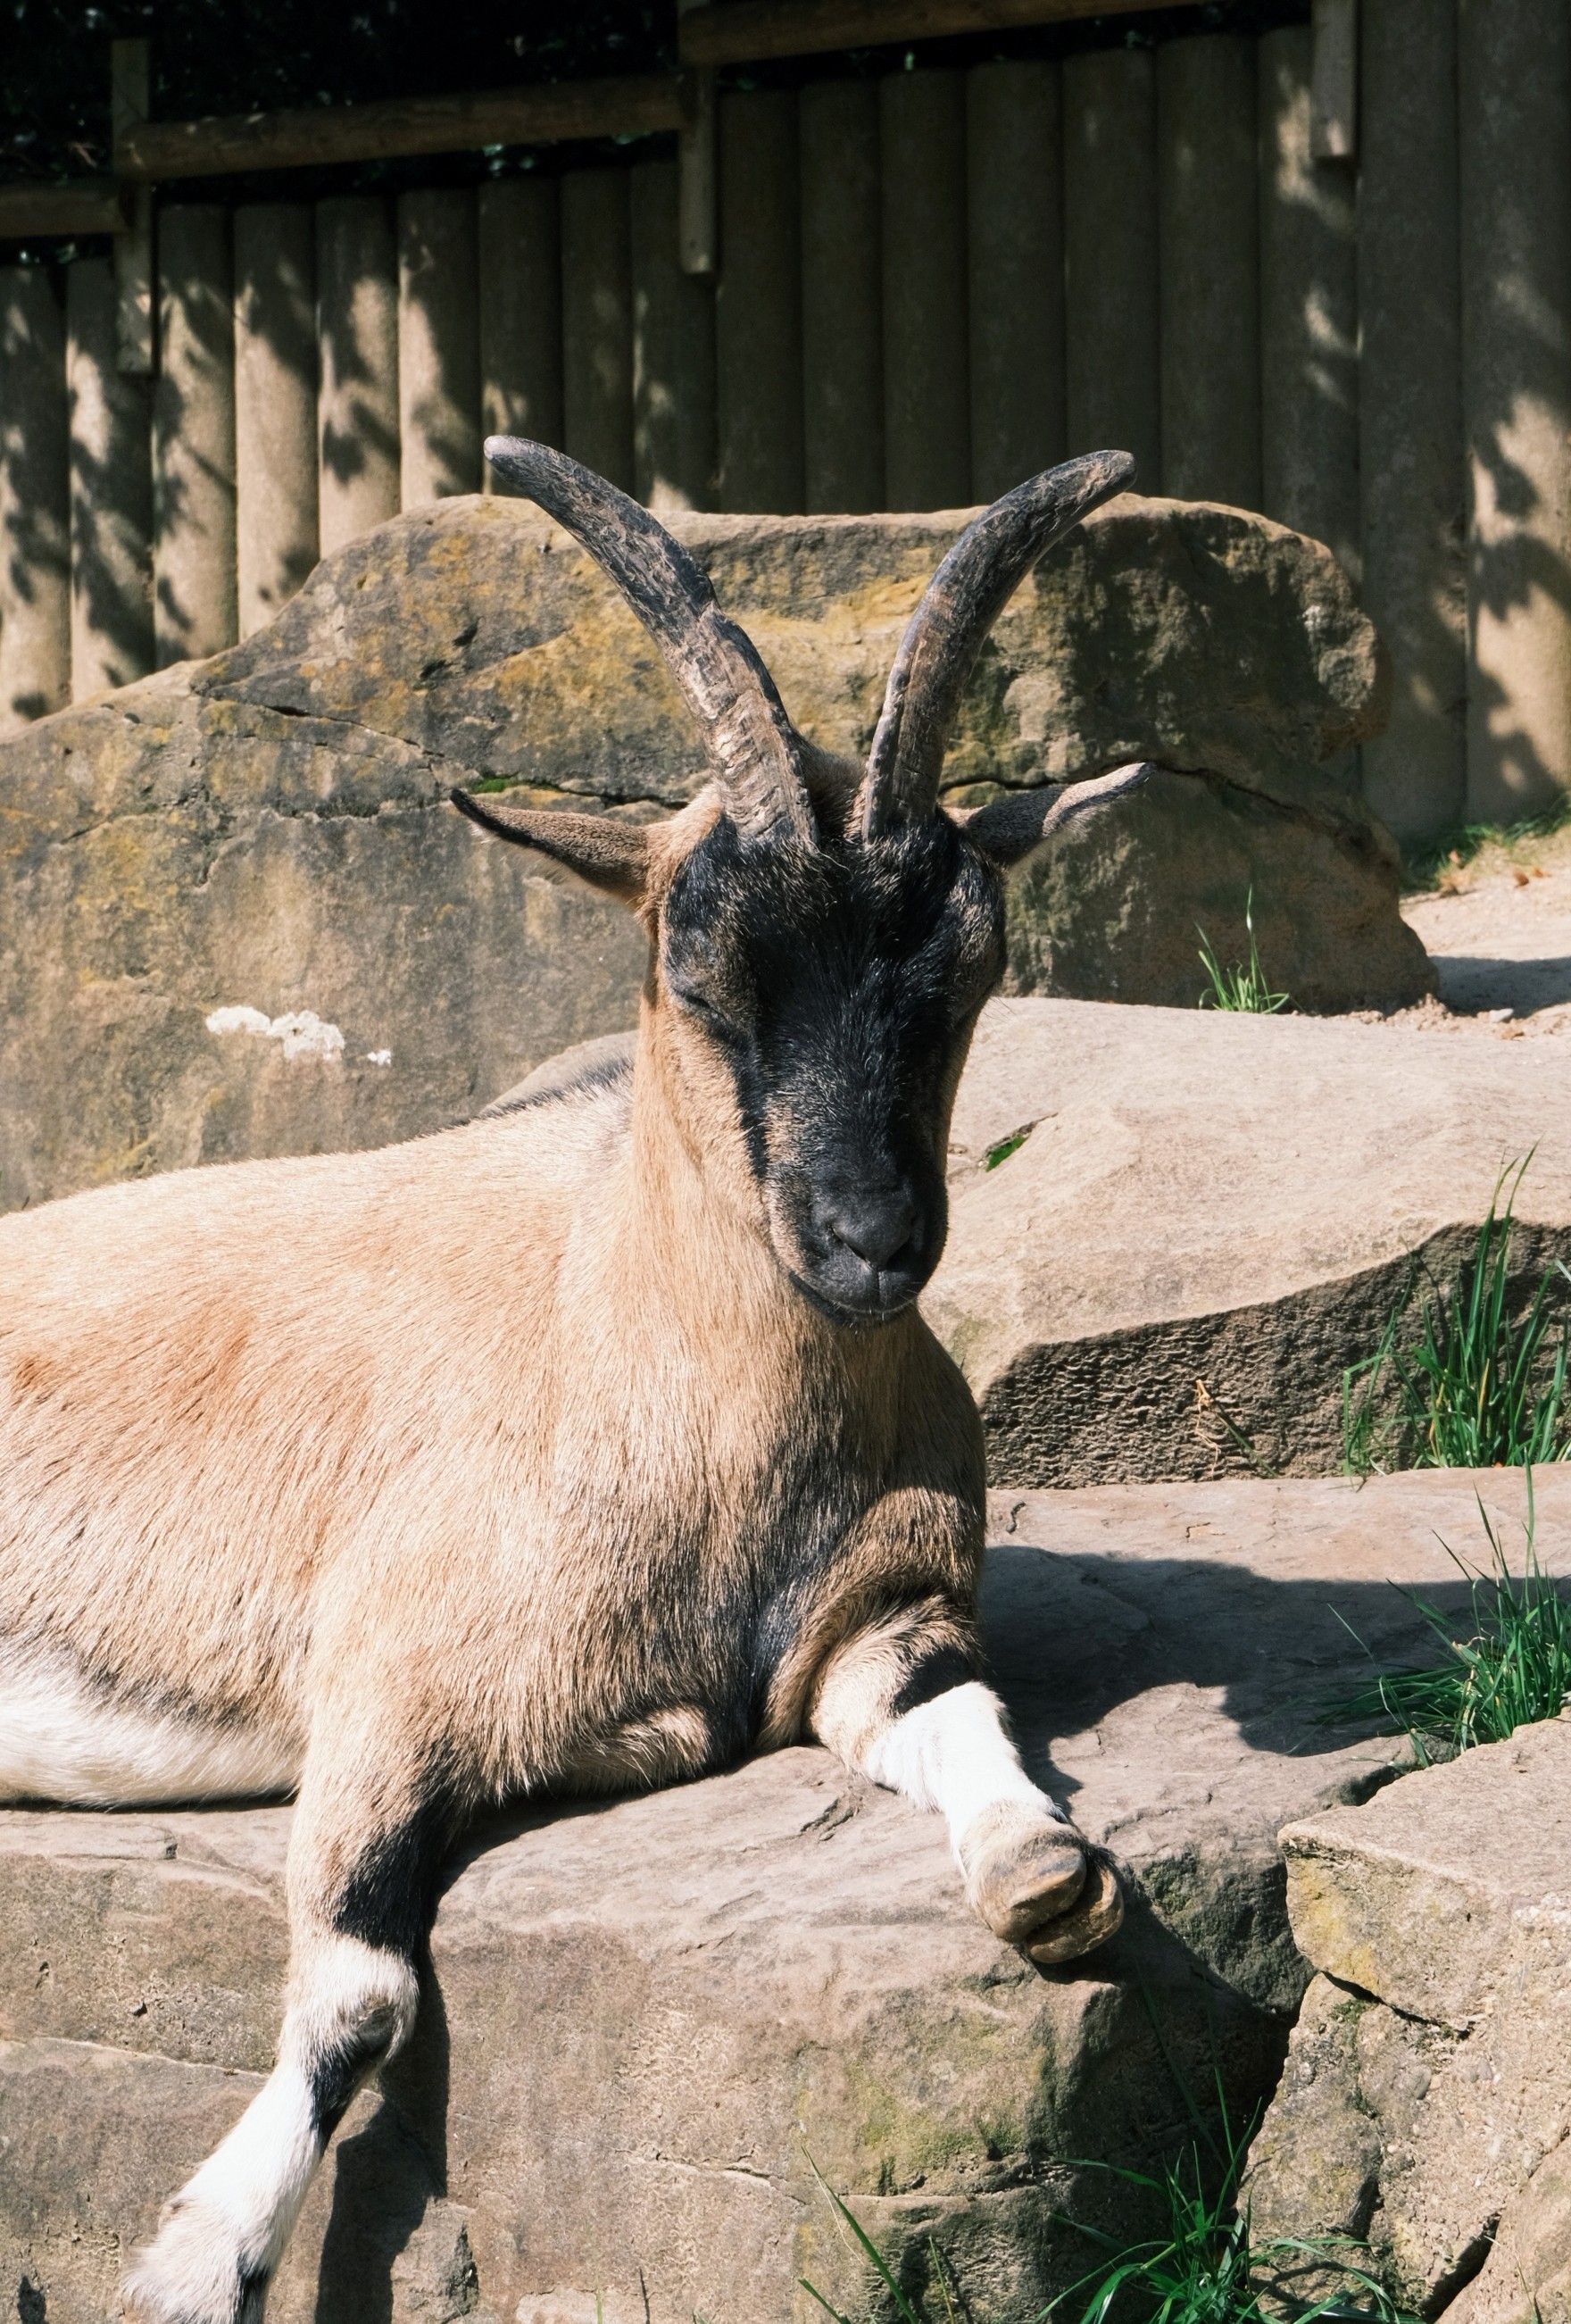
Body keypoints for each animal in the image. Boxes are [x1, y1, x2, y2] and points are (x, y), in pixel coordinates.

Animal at [0, 438, 1150, 2324]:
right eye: (699, 964)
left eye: (972, 964)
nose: (870, 1239)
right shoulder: (387, 1681)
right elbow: (361, 1988)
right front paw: (194, 2259)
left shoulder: (867, 1618)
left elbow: (954, 1713)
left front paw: (1045, 1874)